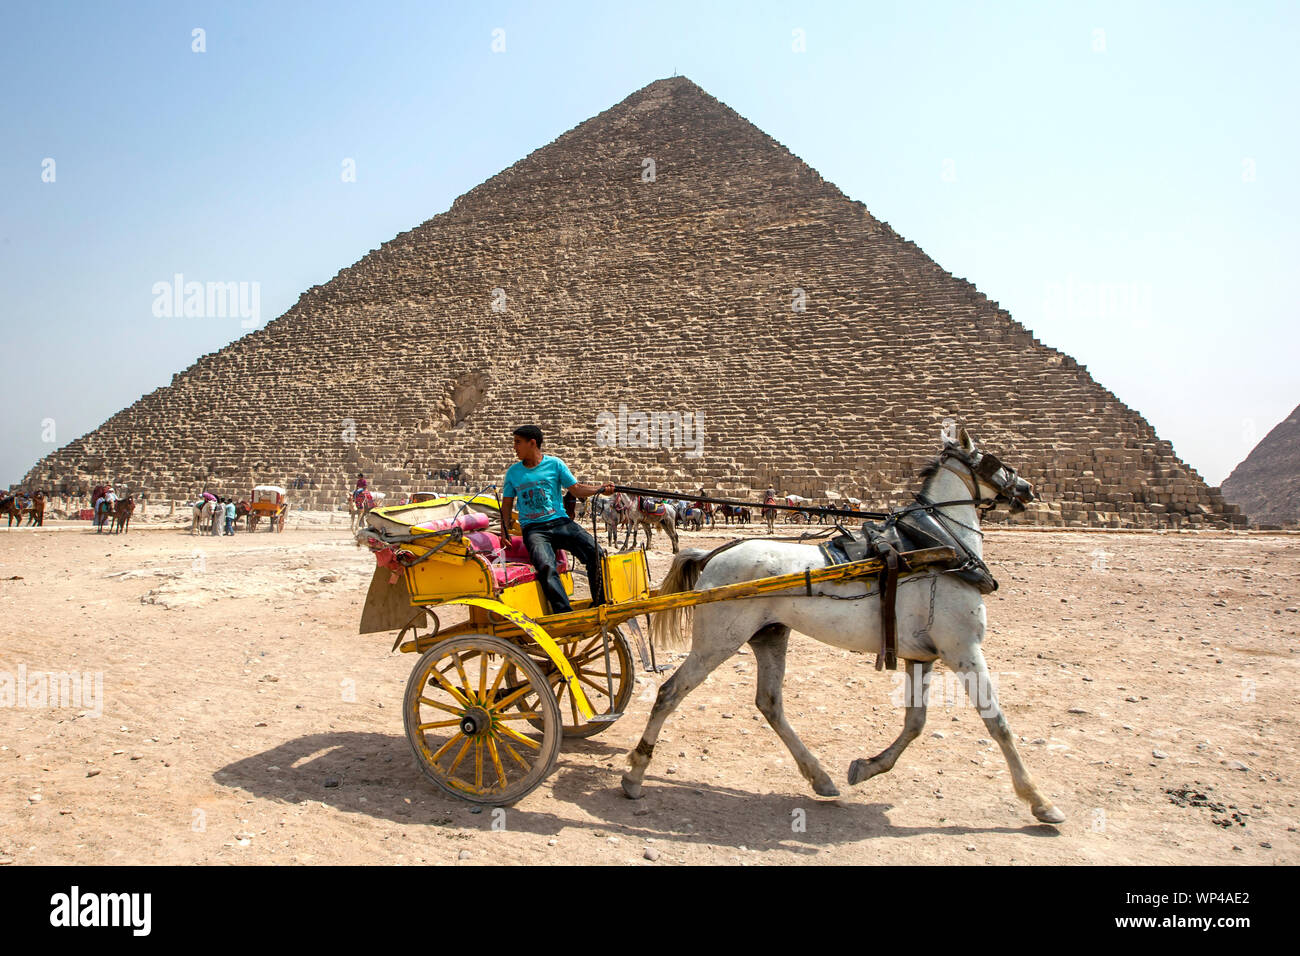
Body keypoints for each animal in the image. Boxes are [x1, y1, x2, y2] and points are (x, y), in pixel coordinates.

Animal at [622, 426, 1065, 825]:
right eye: (993, 460)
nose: (1027, 489)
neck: (938, 544)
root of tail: (715, 554)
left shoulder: (922, 656)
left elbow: (915, 723)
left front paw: (866, 767)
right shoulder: (963, 650)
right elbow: (998, 723)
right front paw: (1039, 800)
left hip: (769, 635)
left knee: (769, 702)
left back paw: (821, 778)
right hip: (718, 641)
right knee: (670, 693)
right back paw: (635, 773)